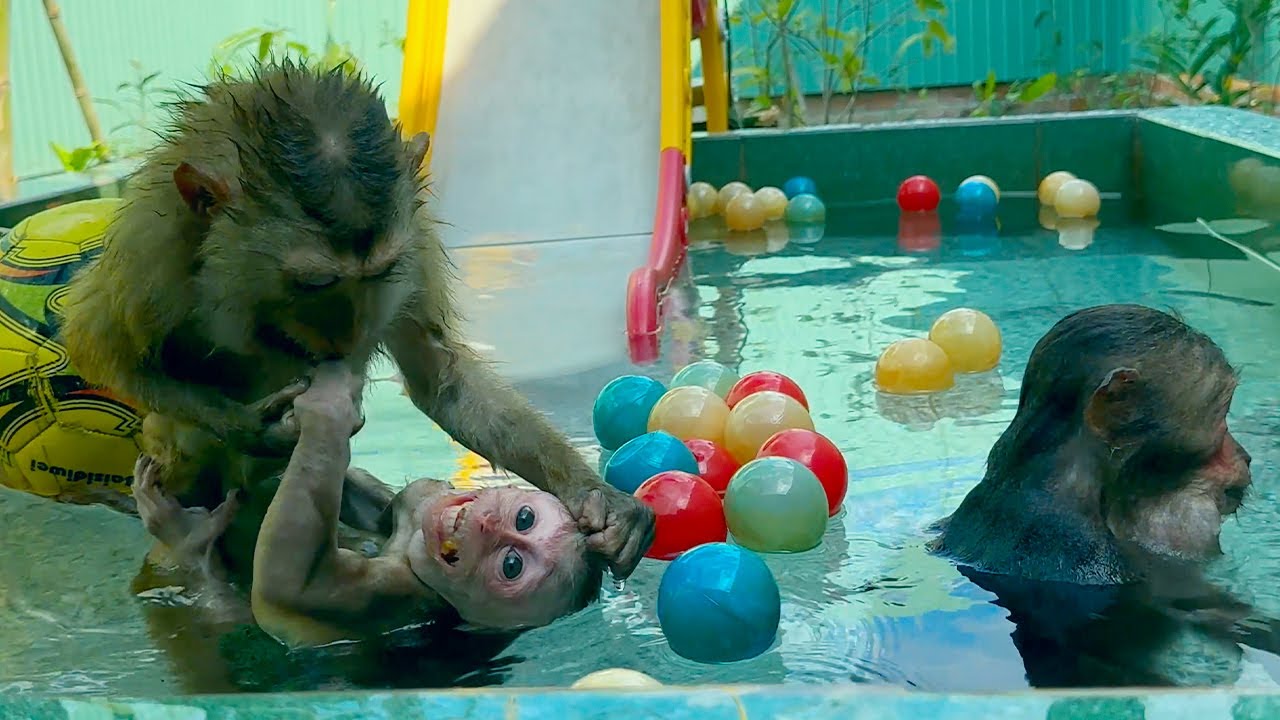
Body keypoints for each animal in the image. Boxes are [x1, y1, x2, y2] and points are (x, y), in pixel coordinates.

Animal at [57, 59, 654, 579]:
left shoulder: (415, 237)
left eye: (379, 273)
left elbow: (441, 377)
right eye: (315, 282)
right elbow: (97, 350)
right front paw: (256, 426)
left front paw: (598, 498)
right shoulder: (153, 252)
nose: (346, 335)